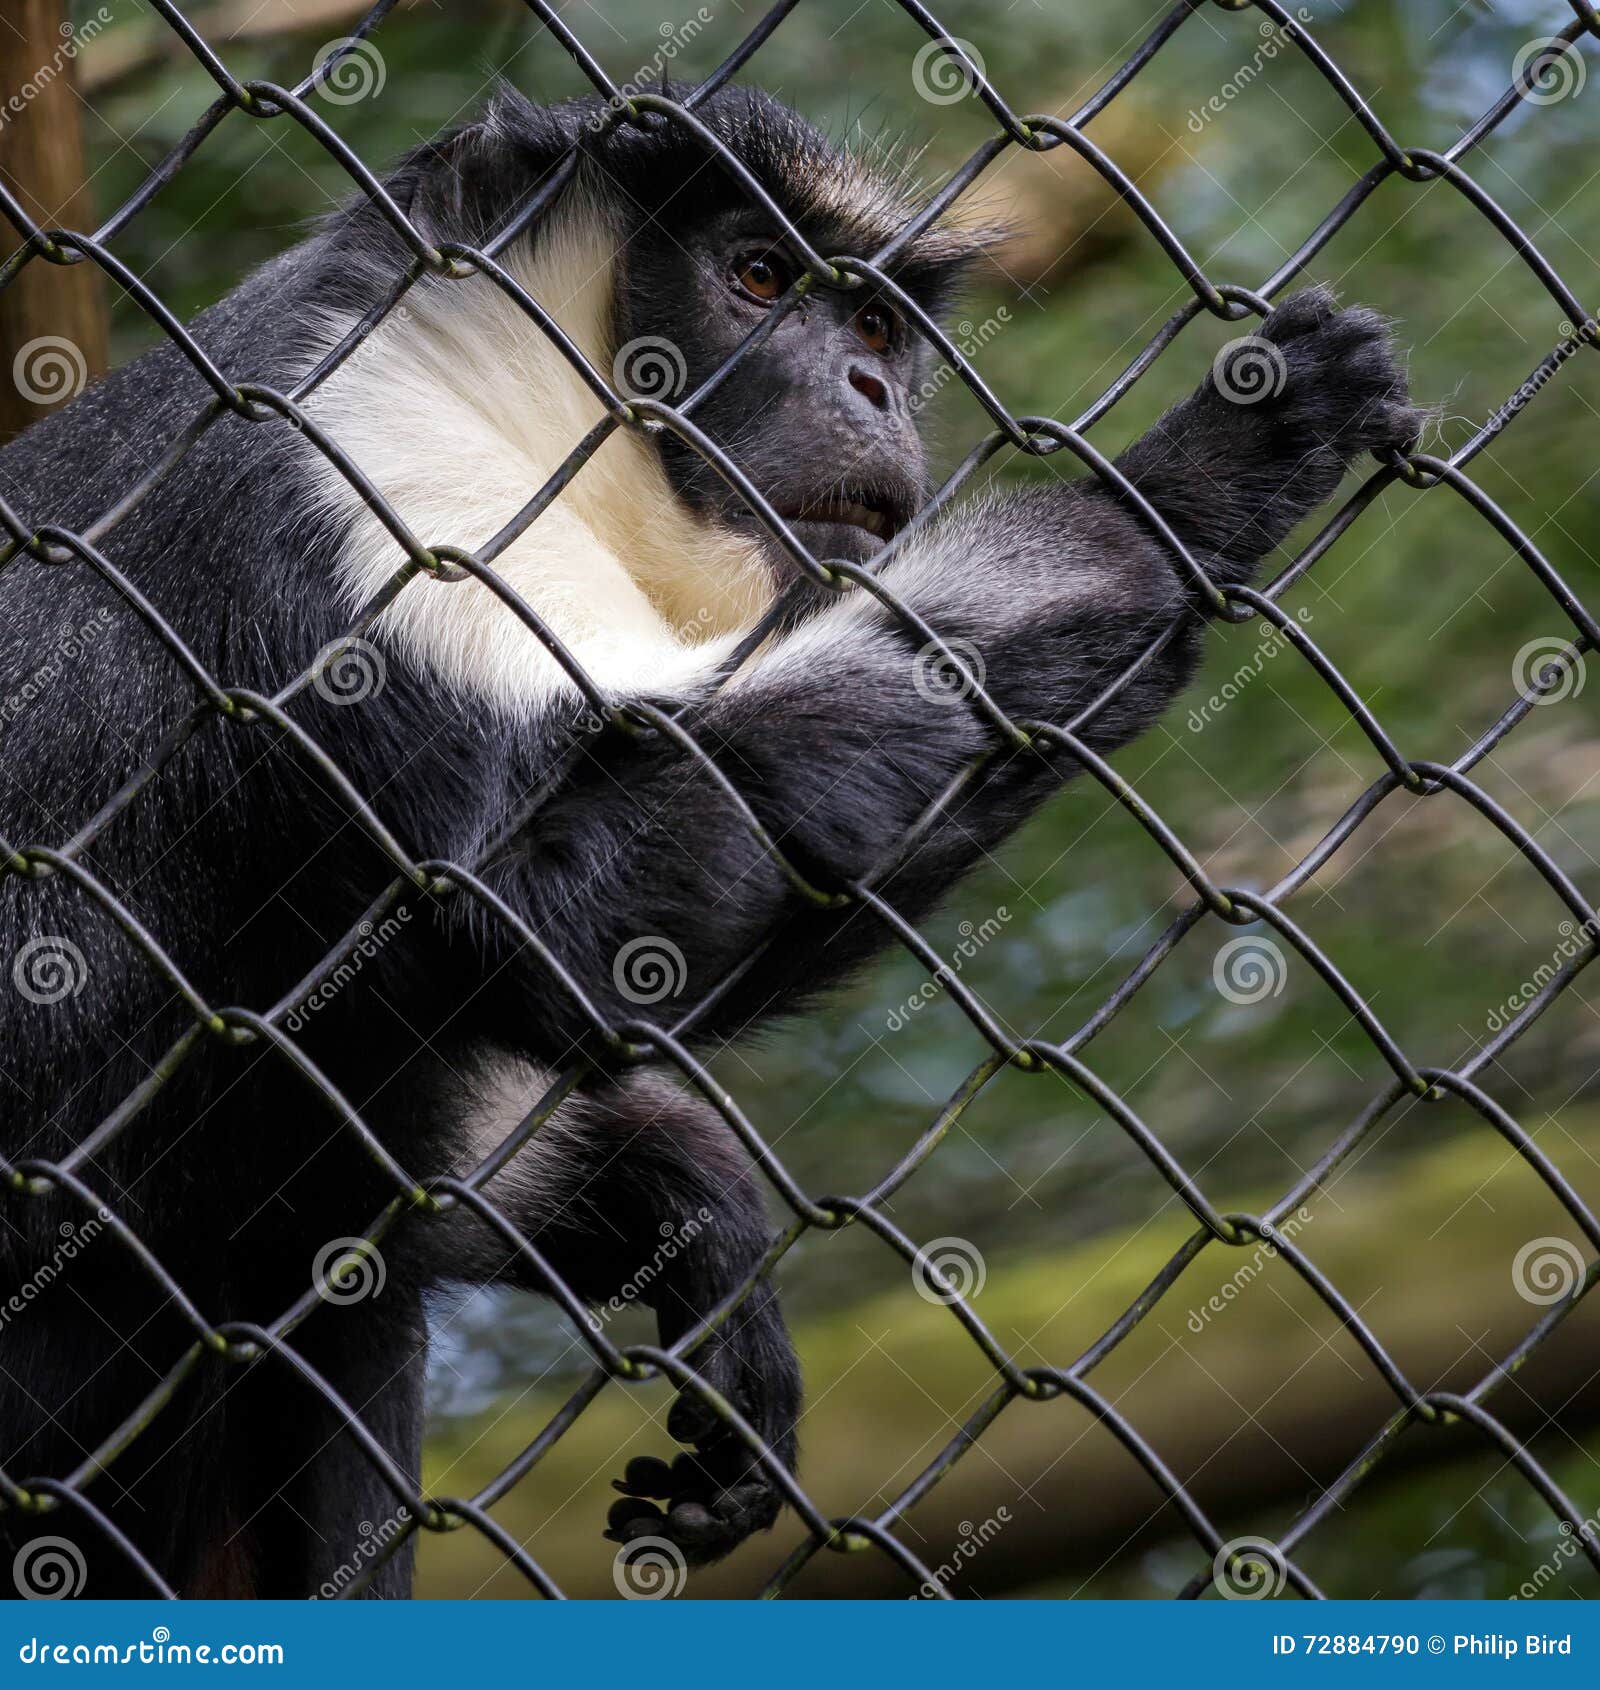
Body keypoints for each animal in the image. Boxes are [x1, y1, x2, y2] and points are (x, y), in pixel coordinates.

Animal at [0, 82, 1421, 1598]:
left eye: (875, 329)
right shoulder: (370, 482)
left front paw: (690, 1205)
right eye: (754, 277)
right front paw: (1195, 476)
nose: (868, 391)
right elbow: (547, 930)